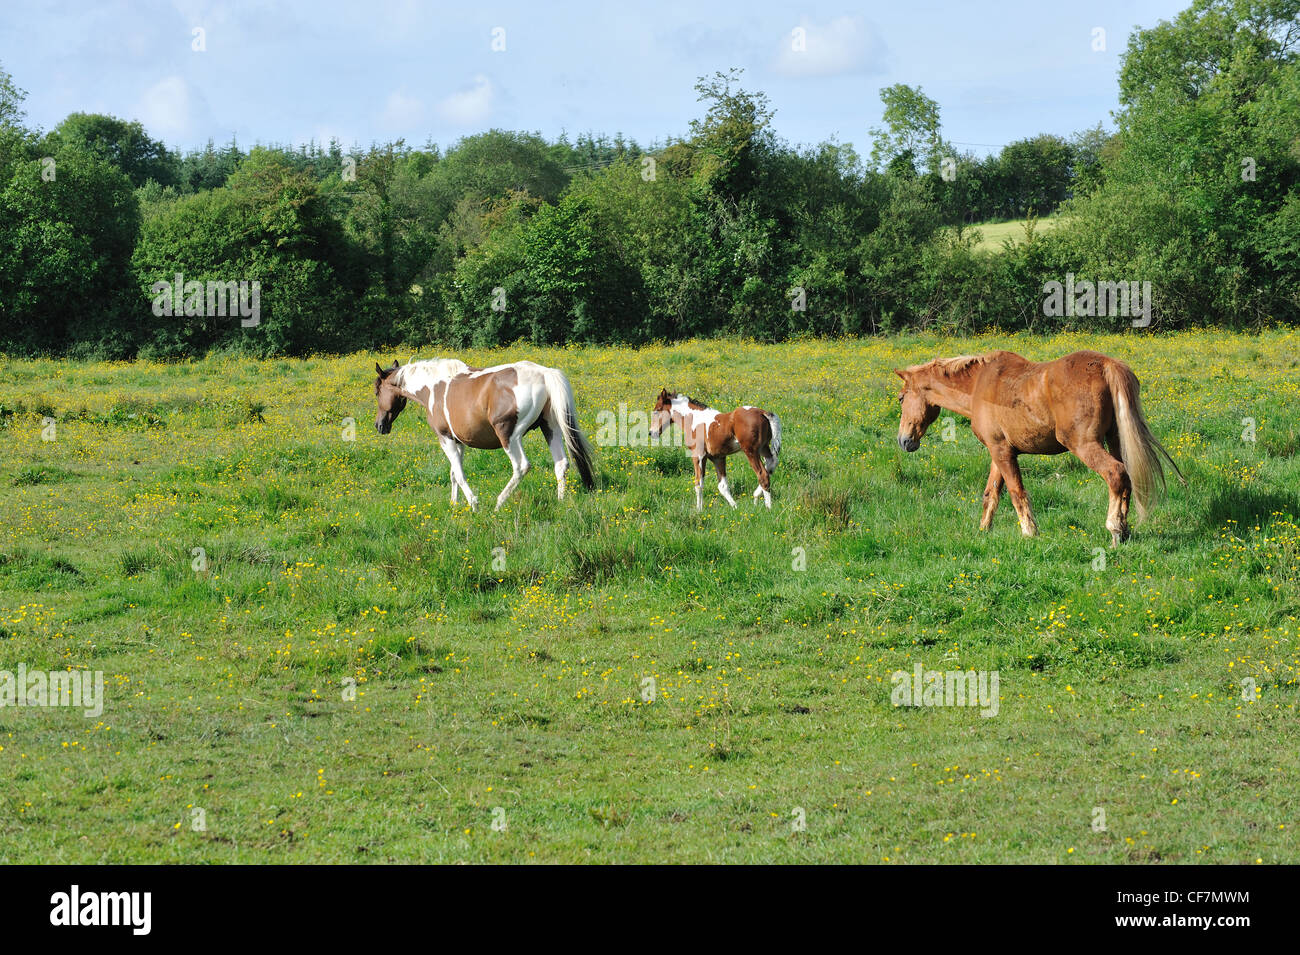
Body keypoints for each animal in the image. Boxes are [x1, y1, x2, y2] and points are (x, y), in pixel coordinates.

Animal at [373, 358, 595, 511]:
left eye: (377, 392)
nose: (379, 425)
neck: (433, 387)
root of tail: (543, 374)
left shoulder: (445, 439)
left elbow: (460, 475)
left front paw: (474, 504)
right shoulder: (458, 442)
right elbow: (453, 474)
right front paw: (454, 505)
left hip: (509, 436)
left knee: (521, 466)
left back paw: (499, 503)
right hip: (550, 428)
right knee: (561, 464)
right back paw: (561, 501)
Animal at [648, 389, 782, 510]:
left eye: (657, 410)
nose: (651, 433)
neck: (694, 420)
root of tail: (762, 412)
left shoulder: (698, 455)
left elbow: (698, 484)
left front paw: (699, 510)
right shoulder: (717, 457)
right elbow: (722, 486)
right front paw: (735, 507)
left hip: (751, 451)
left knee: (763, 474)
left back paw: (768, 507)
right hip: (763, 448)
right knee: (771, 464)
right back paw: (756, 495)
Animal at [895, 350, 1184, 546]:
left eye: (900, 398)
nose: (904, 441)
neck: (979, 384)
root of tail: (1106, 365)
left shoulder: (1001, 452)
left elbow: (1016, 493)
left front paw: (1030, 533)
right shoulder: (1000, 452)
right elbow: (992, 494)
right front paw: (984, 530)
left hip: (1084, 445)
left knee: (1115, 474)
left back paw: (1115, 529)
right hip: (1115, 440)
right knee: (1126, 479)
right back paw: (1124, 530)